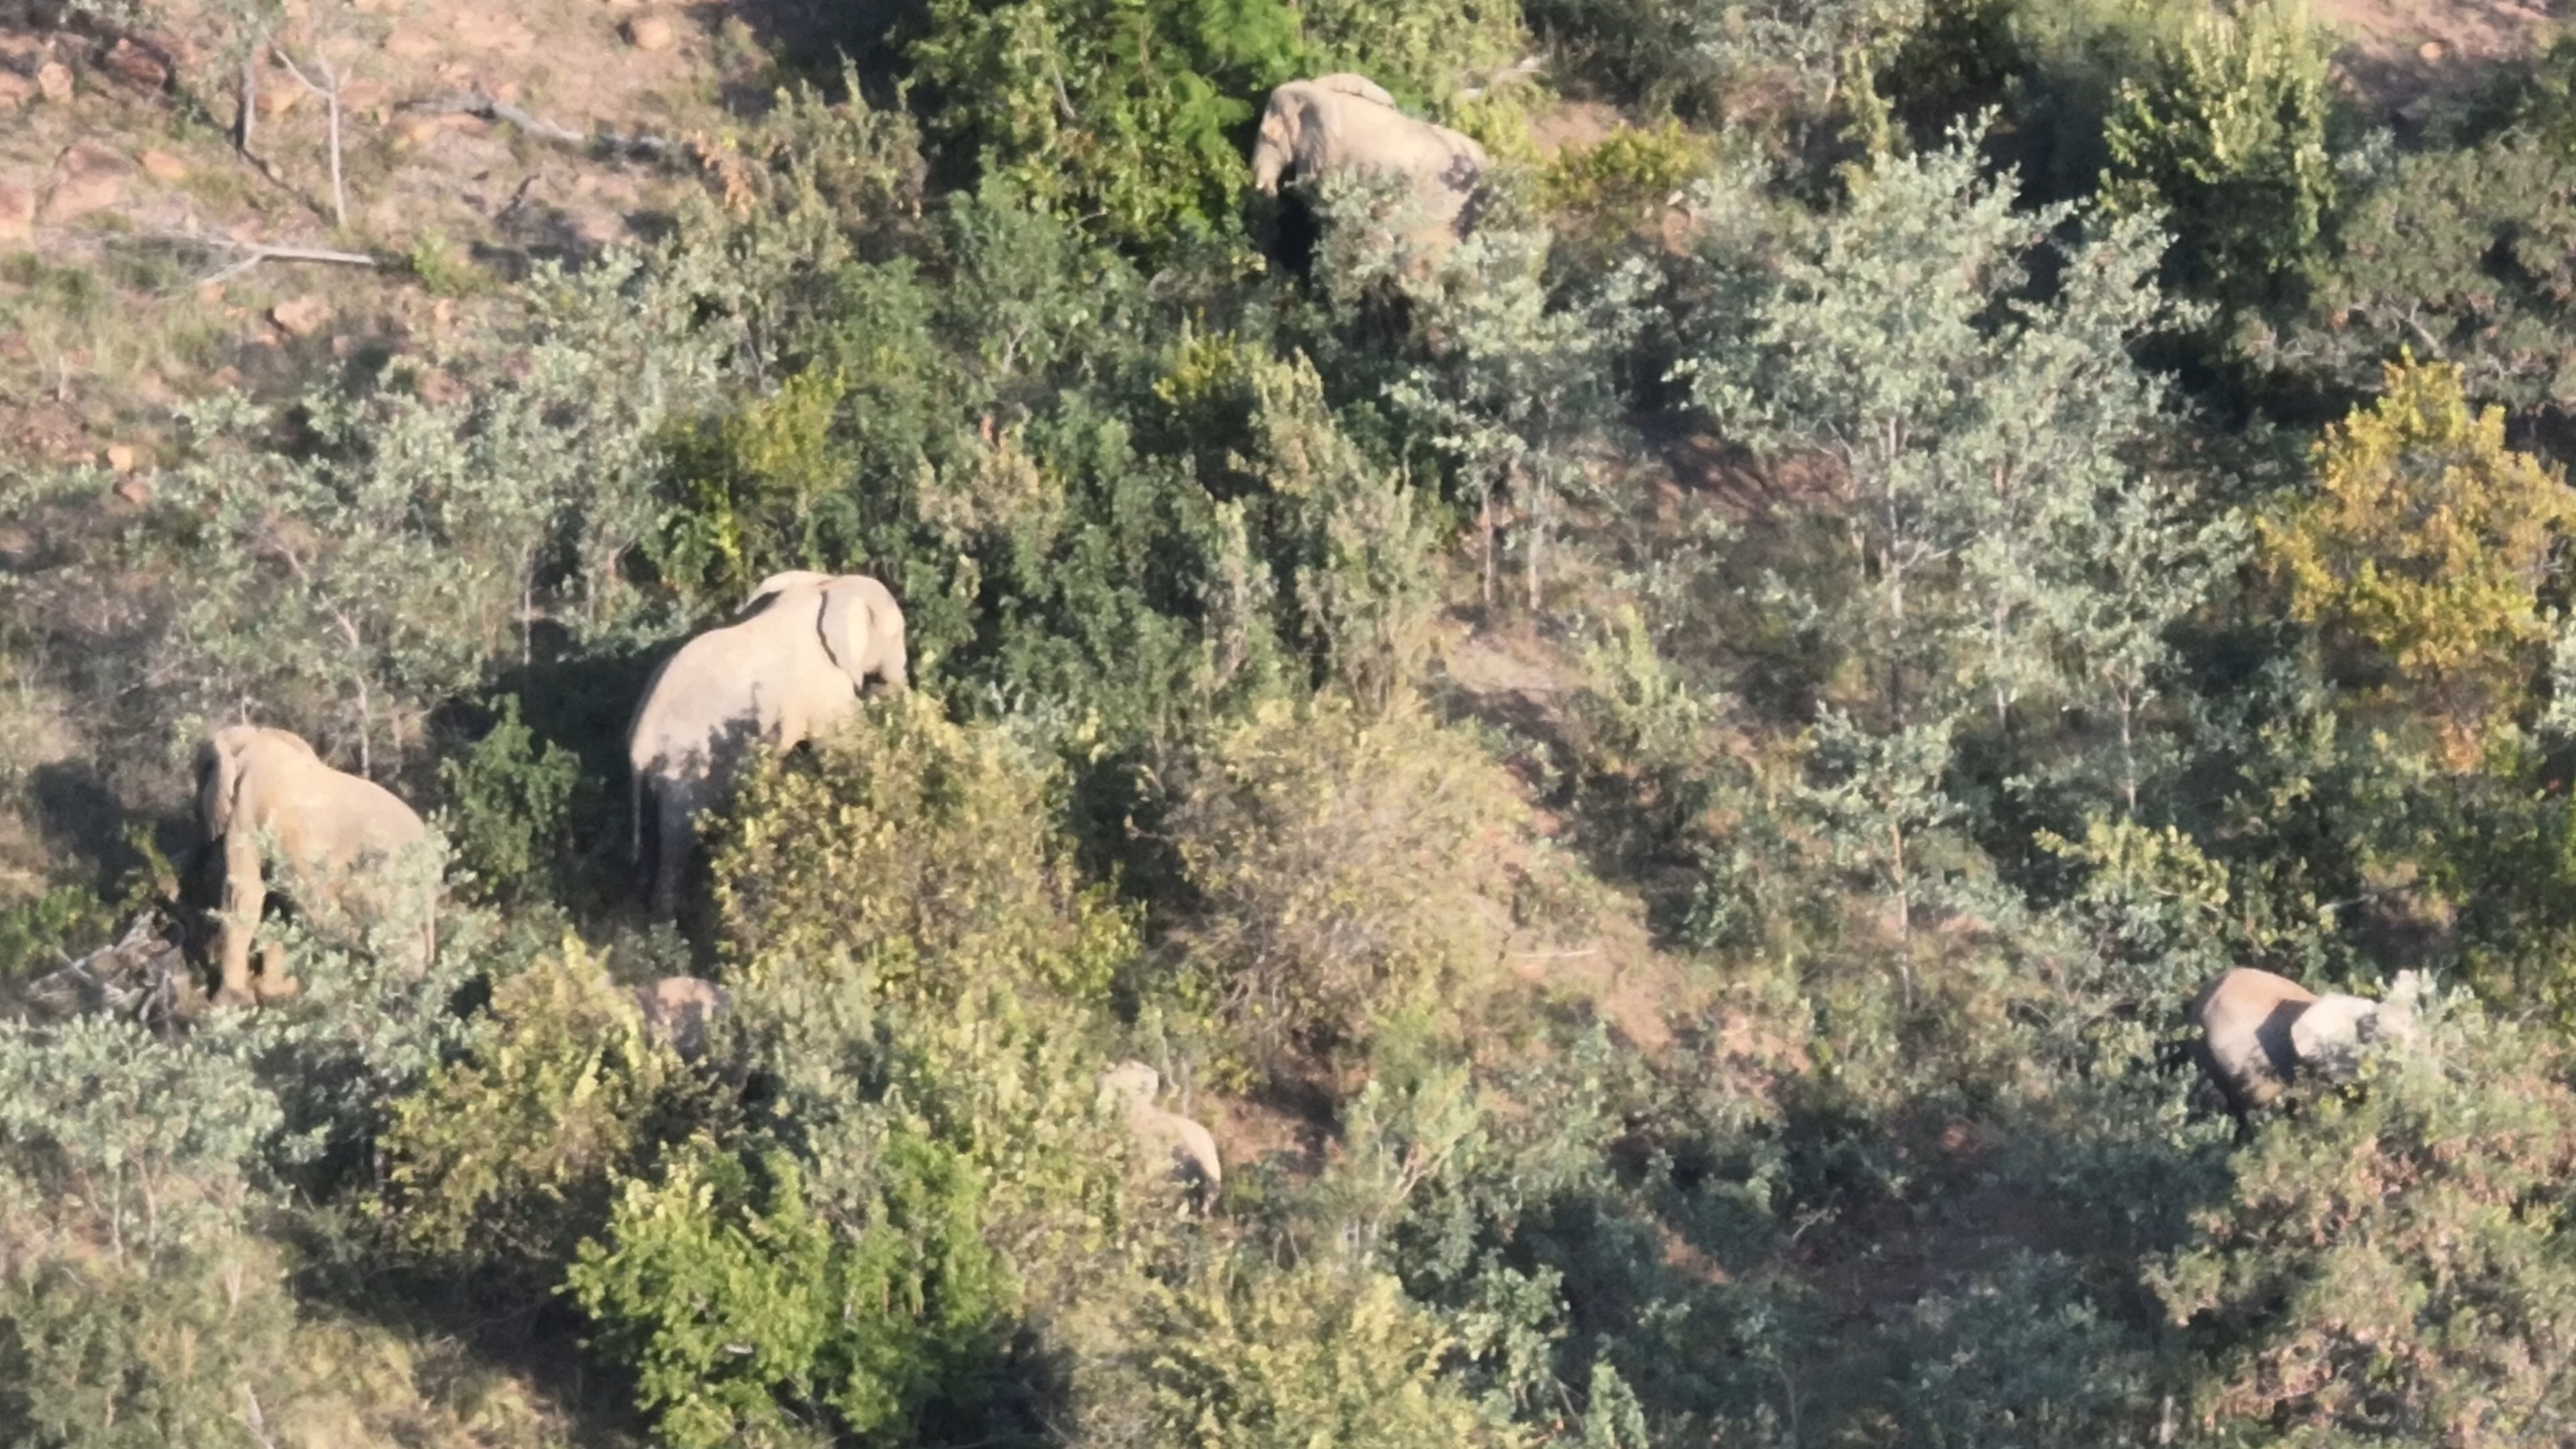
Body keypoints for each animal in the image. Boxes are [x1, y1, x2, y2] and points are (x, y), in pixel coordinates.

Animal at [194, 724, 434, 1007]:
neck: (255, 738)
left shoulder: (246, 813)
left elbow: (244, 894)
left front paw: (228, 1003)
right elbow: (273, 903)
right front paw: (280, 992)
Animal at [626, 571, 908, 917]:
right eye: (898, 635)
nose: (883, 686)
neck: (827, 586)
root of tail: (637, 746)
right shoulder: (825, 684)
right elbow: (844, 746)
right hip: (683, 767)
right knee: (679, 833)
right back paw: (670, 920)